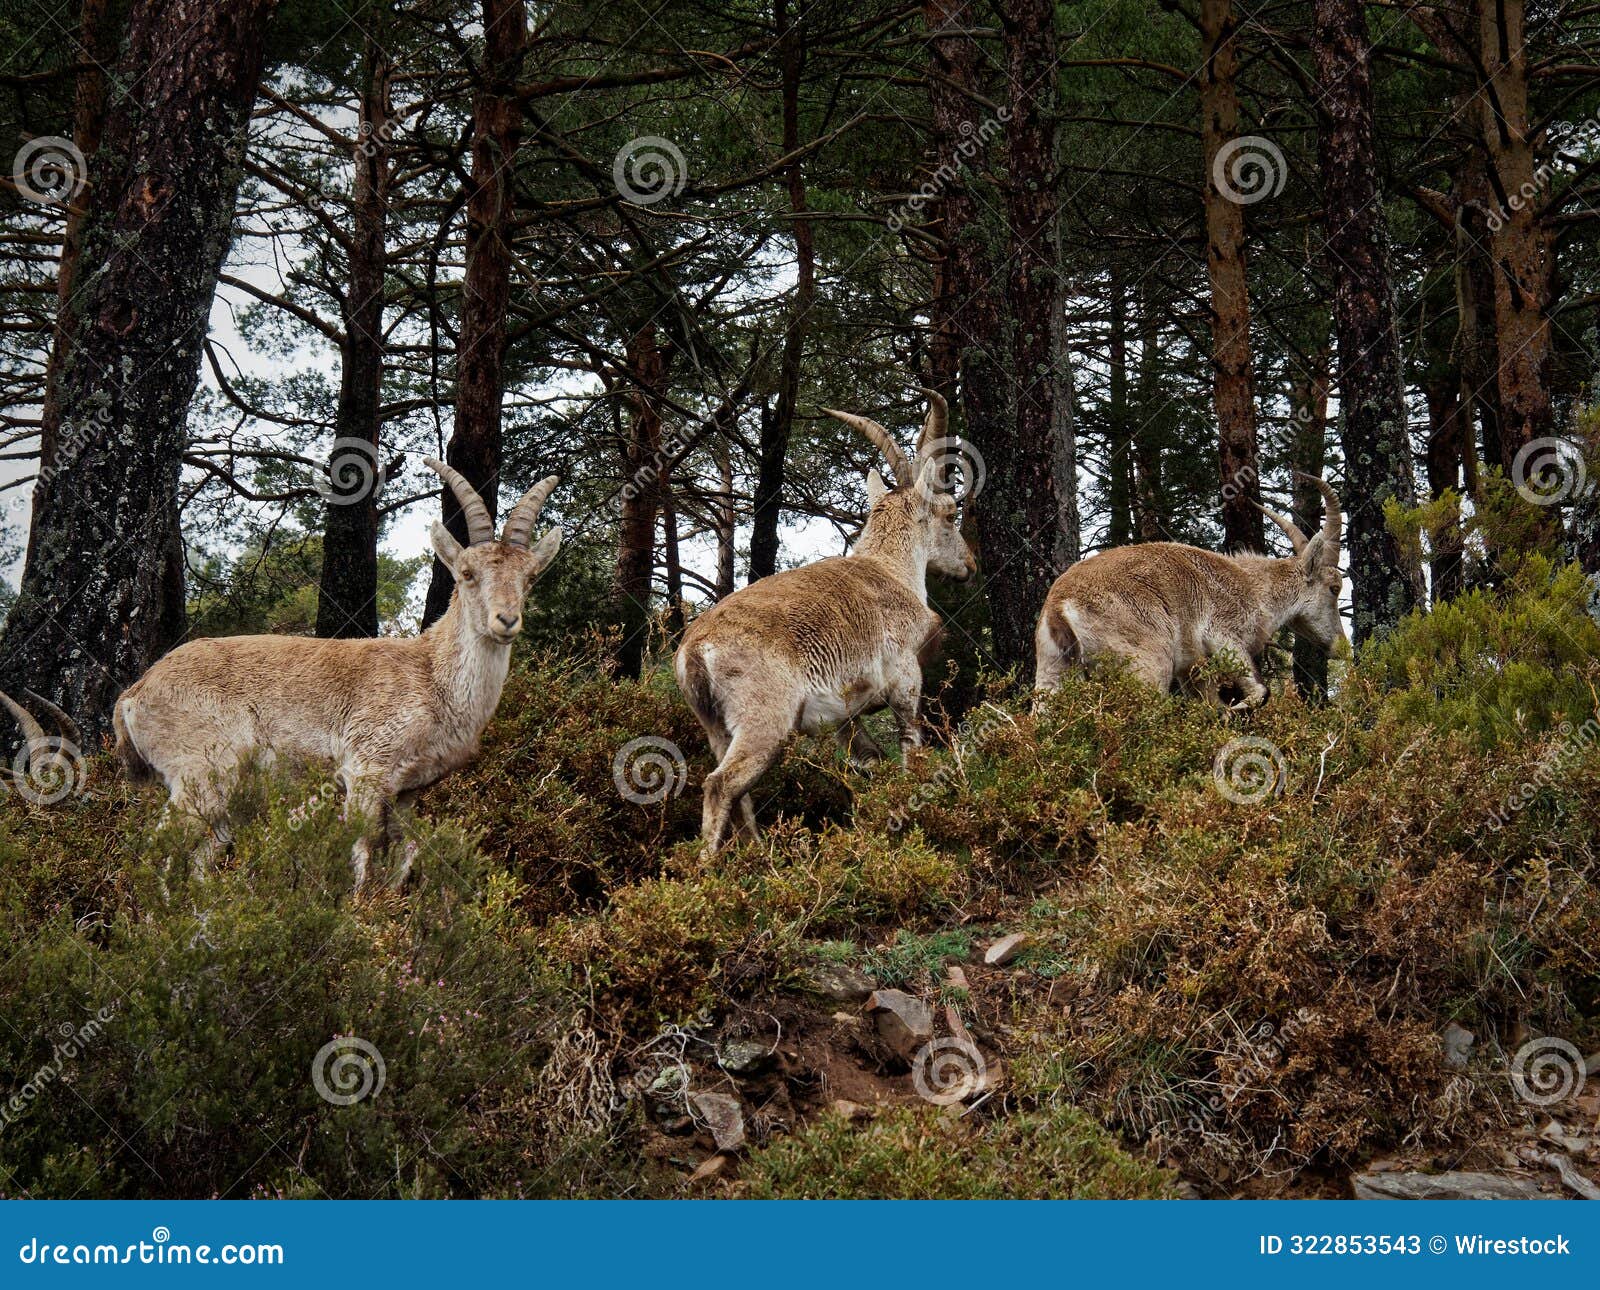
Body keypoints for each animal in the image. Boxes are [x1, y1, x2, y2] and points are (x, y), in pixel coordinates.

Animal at [112, 459, 561, 888]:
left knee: (199, 861)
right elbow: (362, 849)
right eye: (468, 573)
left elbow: (404, 855)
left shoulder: (407, 791)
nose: (506, 620)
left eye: (530, 577)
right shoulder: (365, 770)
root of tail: (134, 695)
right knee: (157, 851)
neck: (432, 677)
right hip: (200, 775)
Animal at [675, 390, 976, 854]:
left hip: (716, 729)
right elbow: (911, 748)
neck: (891, 570)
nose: (970, 565)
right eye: (948, 513)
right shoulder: (905, 681)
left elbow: (870, 761)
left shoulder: (844, 716)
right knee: (721, 785)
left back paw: (757, 857)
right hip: (764, 721)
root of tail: (694, 651)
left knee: (737, 794)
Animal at [1033, 475, 1346, 708]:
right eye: (1335, 587)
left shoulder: (1192, 669)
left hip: (1051, 671)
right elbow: (1259, 691)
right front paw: (1239, 707)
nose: (1341, 647)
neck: (1253, 588)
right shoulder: (1223, 635)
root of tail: (1059, 605)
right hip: (1148, 667)